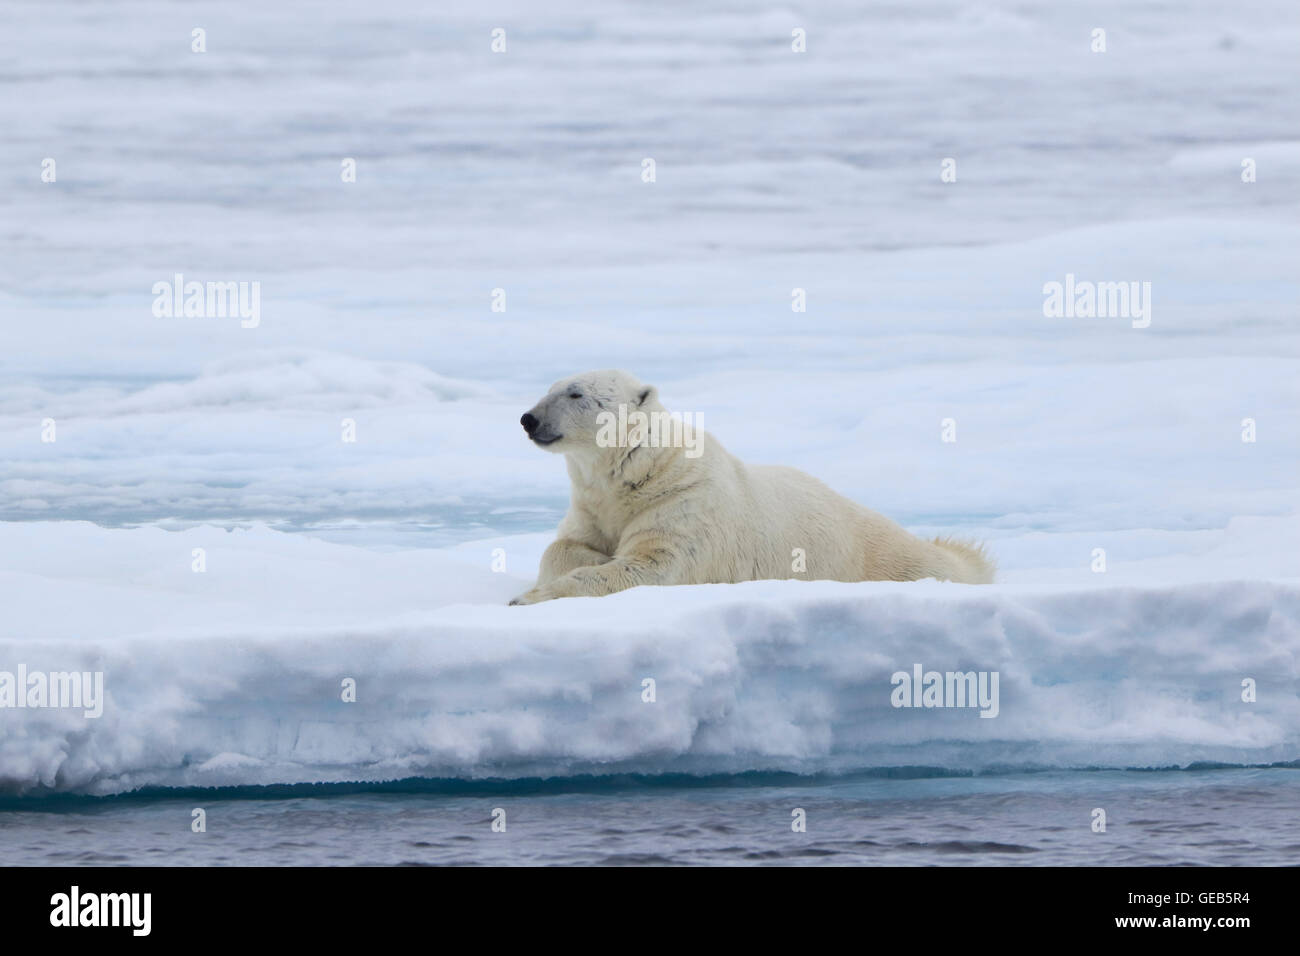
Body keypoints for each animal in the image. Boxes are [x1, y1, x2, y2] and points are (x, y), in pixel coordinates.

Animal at [509, 369, 994, 605]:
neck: (637, 471)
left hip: (879, 558)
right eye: (551, 388)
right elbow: (564, 546)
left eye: (576, 394)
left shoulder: (683, 503)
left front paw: (530, 596)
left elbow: (651, 567)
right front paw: (581, 560)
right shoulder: (593, 504)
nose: (528, 418)